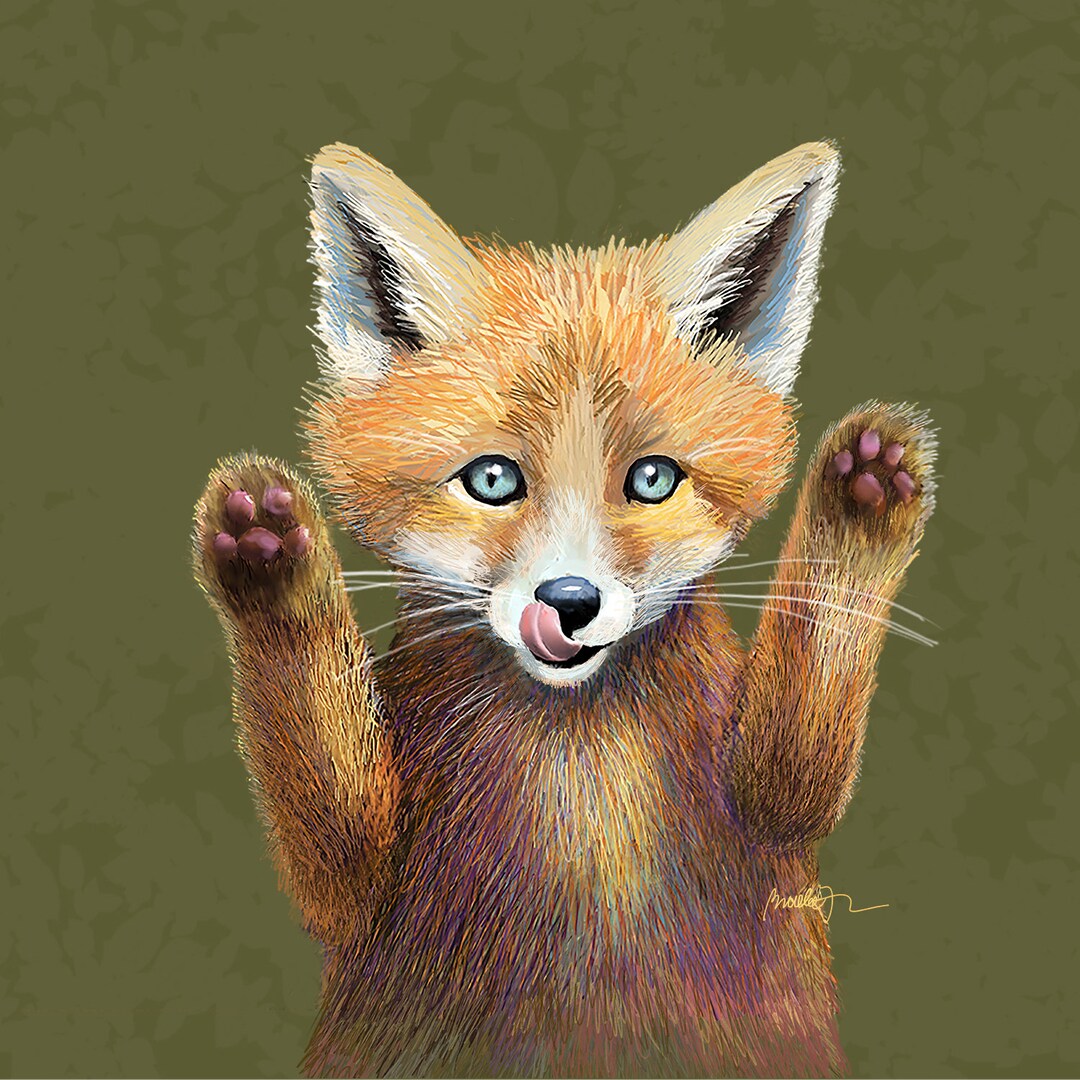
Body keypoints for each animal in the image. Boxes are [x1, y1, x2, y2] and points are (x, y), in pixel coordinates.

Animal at [192, 140, 936, 1078]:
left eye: (651, 480)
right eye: (492, 480)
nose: (570, 603)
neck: (571, 744)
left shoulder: (765, 808)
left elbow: (803, 753)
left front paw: (861, 505)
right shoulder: (363, 875)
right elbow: (325, 822)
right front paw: (273, 565)